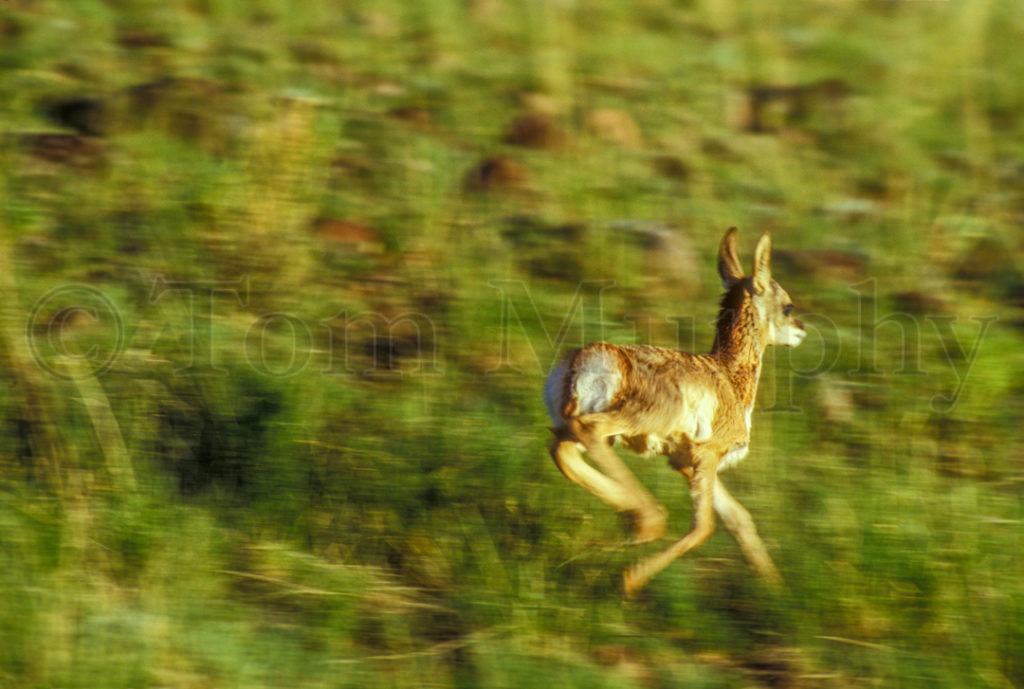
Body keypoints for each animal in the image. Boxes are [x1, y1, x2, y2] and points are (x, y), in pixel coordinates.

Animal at [544, 228, 806, 595]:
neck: (728, 377)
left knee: (562, 450)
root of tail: (587, 356)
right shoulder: (705, 456)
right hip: (625, 423)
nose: (801, 329)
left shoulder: (685, 462)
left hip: (583, 429)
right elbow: (704, 525)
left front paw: (775, 587)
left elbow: (739, 518)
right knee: (587, 432)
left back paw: (635, 519)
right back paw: (647, 523)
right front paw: (632, 578)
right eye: (788, 305)